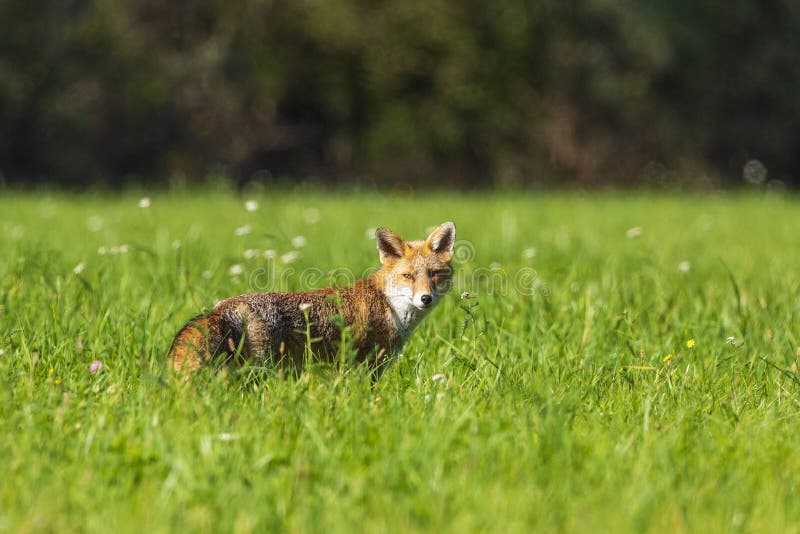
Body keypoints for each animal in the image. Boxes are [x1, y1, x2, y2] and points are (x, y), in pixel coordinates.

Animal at [167, 221, 456, 375]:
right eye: (408, 276)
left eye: (434, 274)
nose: (426, 298)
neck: (388, 305)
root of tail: (223, 307)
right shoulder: (368, 366)